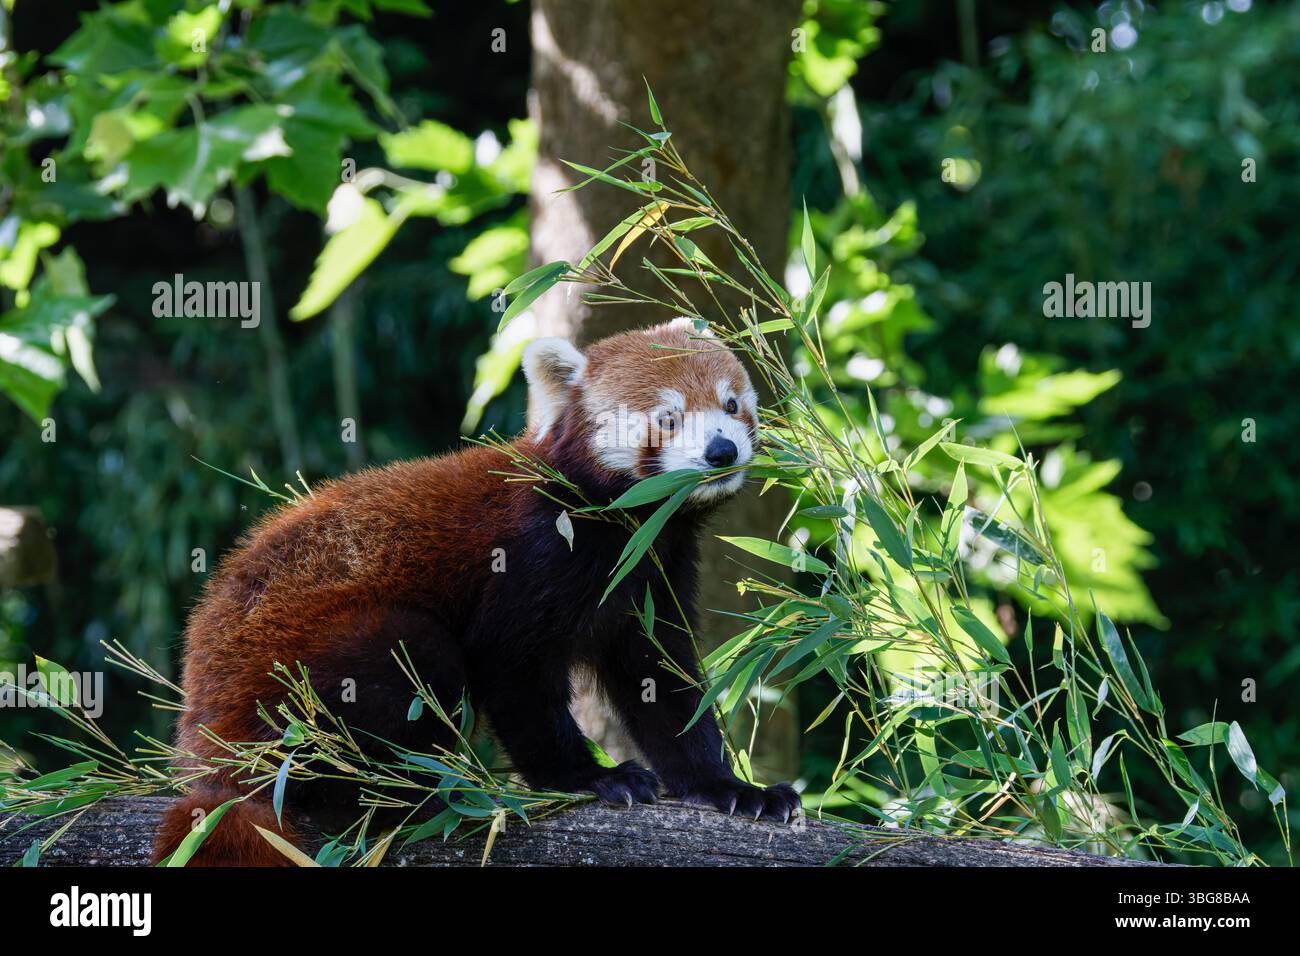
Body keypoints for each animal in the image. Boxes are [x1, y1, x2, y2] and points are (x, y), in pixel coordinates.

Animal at [153, 318, 798, 866]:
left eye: (731, 403)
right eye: (667, 418)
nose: (721, 450)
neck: (629, 526)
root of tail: (206, 742)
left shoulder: (651, 577)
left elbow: (663, 685)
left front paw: (727, 787)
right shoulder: (532, 556)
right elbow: (515, 676)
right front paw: (591, 778)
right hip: (306, 671)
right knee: (411, 657)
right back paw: (410, 793)